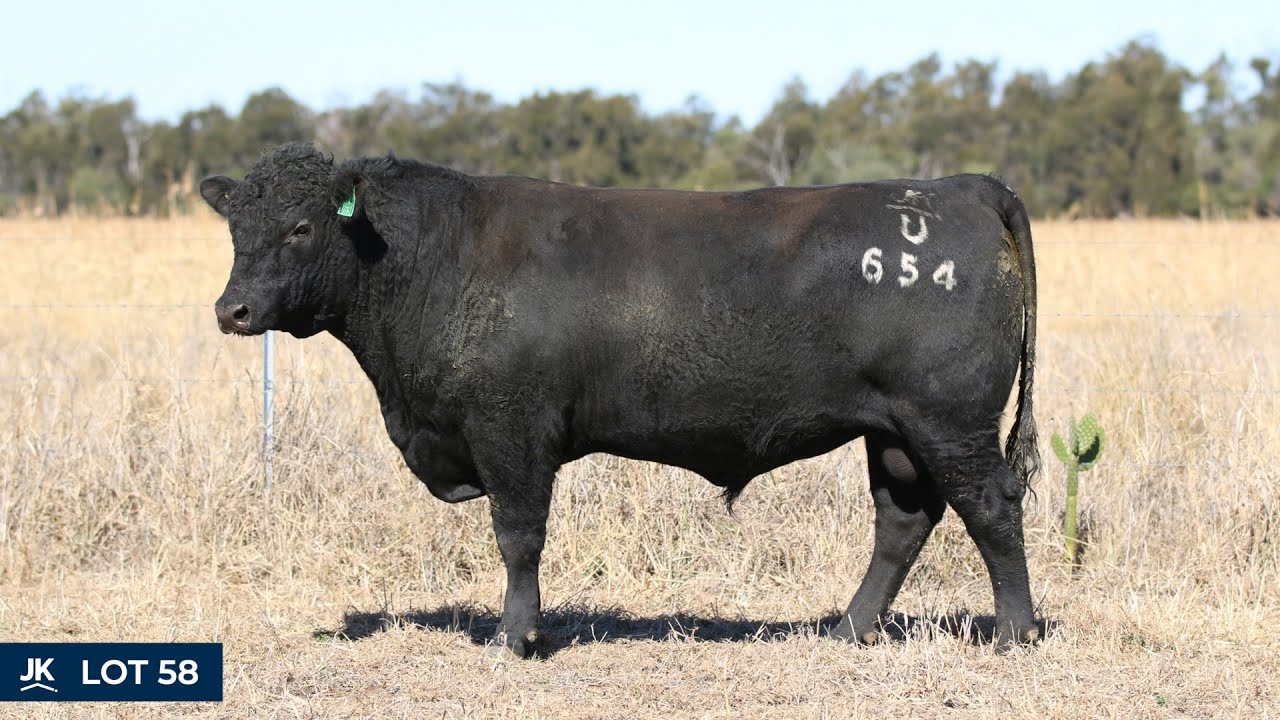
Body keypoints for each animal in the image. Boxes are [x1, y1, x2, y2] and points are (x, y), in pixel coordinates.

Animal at [202, 143, 1041, 658]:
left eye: (300, 226)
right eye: (236, 226)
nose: (232, 310)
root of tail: (960, 188)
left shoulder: (510, 432)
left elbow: (518, 536)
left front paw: (516, 637)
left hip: (950, 422)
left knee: (991, 509)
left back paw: (1015, 633)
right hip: (896, 432)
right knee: (903, 520)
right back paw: (848, 630)